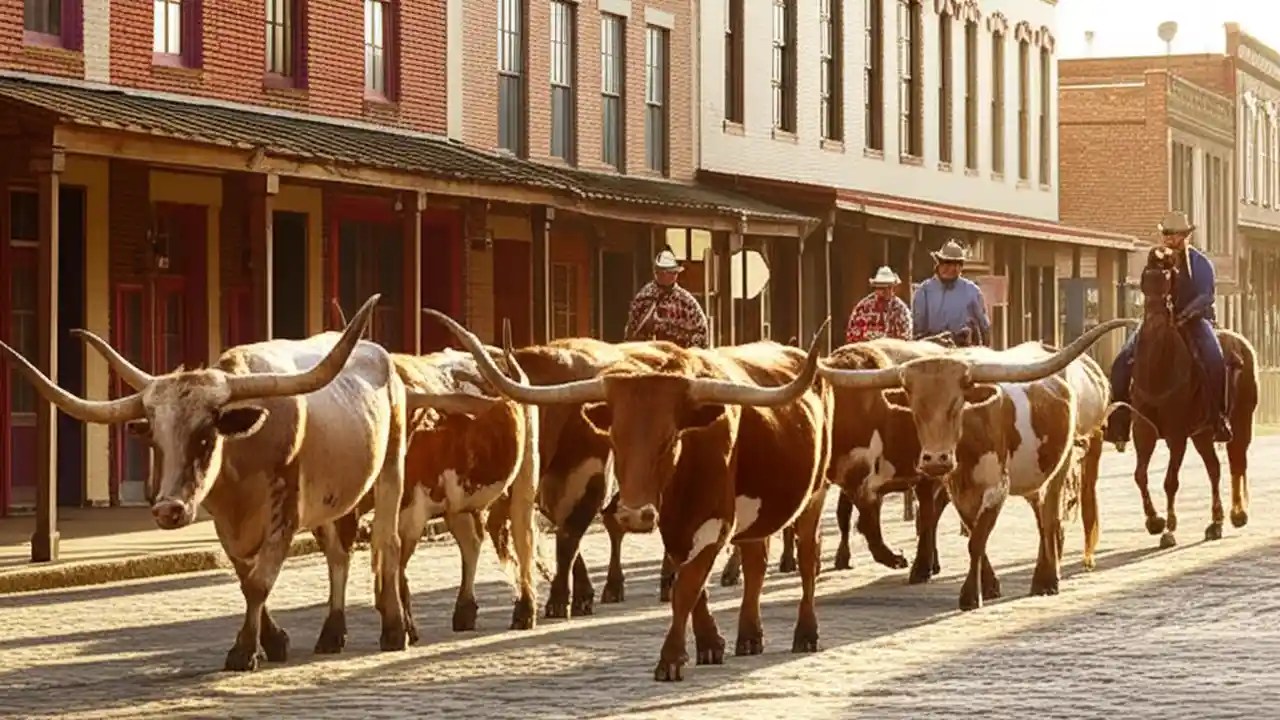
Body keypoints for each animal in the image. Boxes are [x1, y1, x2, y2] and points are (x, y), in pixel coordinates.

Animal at [4, 295, 410, 670]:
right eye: (155, 440)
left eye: (204, 437)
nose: (168, 510)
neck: (240, 465)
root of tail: (380, 355)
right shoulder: (226, 525)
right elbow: (246, 578)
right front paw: (272, 640)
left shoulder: (284, 516)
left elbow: (259, 582)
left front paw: (244, 651)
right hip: (330, 500)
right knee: (338, 554)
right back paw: (332, 633)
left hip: (391, 468)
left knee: (386, 541)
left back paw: (394, 629)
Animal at [429, 309, 835, 681]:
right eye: (615, 438)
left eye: (670, 439)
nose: (634, 514)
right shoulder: (676, 529)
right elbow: (692, 586)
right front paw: (709, 644)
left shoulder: (713, 522)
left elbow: (686, 588)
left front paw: (671, 658)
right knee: (755, 562)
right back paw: (749, 636)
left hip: (814, 497)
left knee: (808, 559)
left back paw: (806, 633)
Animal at [816, 319, 1133, 610]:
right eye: (914, 408)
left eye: (957, 404)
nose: (935, 458)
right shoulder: (957, 490)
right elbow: (973, 535)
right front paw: (989, 585)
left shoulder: (996, 488)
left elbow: (976, 539)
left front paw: (970, 595)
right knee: (1036, 515)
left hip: (1060, 466)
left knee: (1049, 517)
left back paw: (1046, 580)